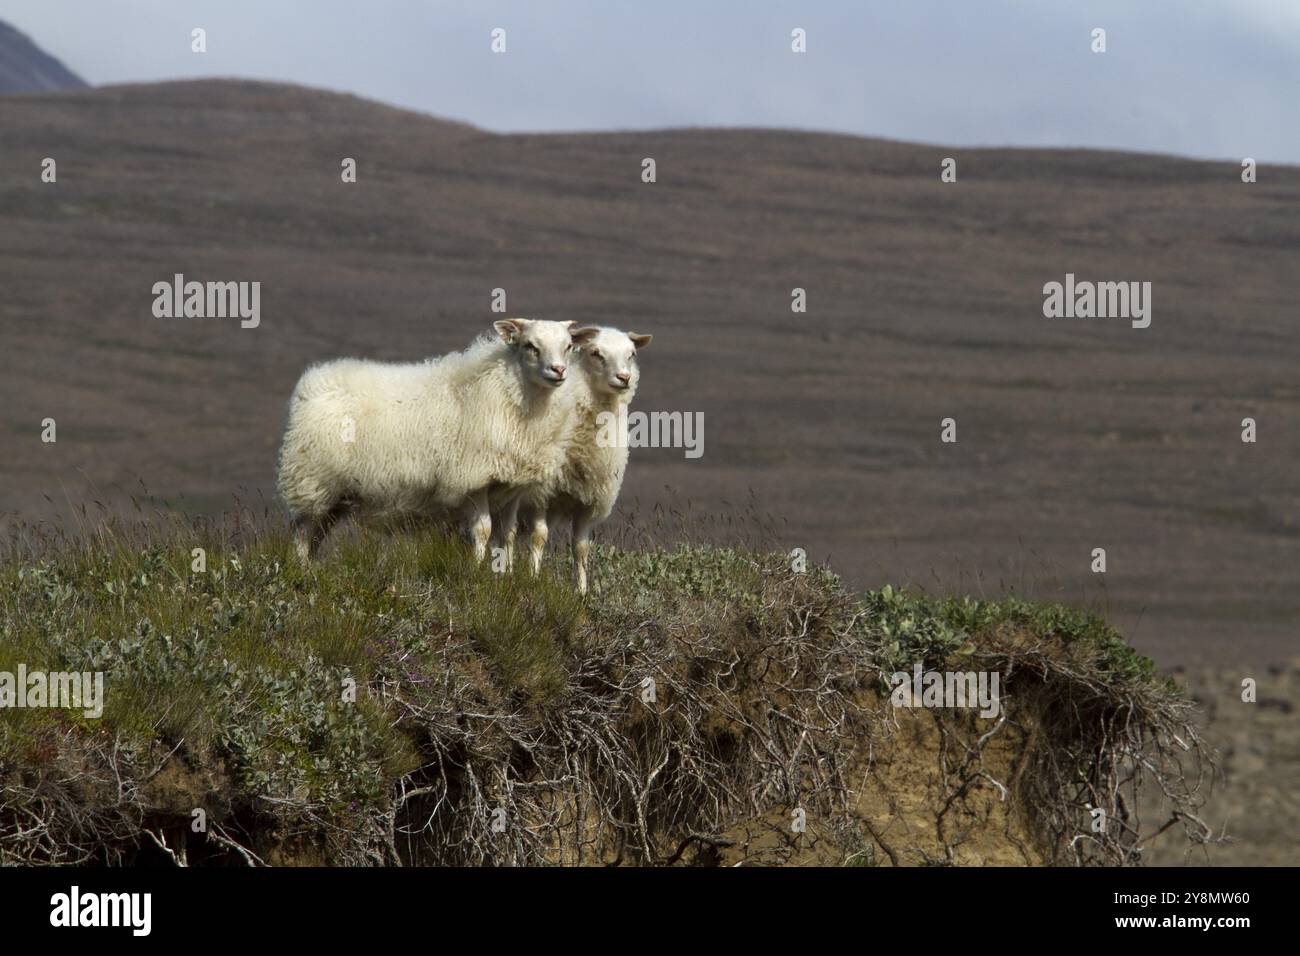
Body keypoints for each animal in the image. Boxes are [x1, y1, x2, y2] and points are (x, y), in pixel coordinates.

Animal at [276, 318, 598, 563]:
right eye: (530, 346)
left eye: (568, 346)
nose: (558, 370)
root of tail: (313, 382)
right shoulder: (473, 477)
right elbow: (483, 530)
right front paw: (478, 573)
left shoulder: (512, 484)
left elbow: (507, 534)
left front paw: (503, 577)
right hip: (313, 478)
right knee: (303, 531)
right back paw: (302, 570)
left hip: (335, 490)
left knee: (318, 532)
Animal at [512, 326, 652, 592]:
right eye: (595, 353)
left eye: (631, 354)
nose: (624, 377)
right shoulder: (540, 495)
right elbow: (539, 537)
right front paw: (533, 579)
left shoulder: (588, 500)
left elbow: (581, 548)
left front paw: (582, 591)